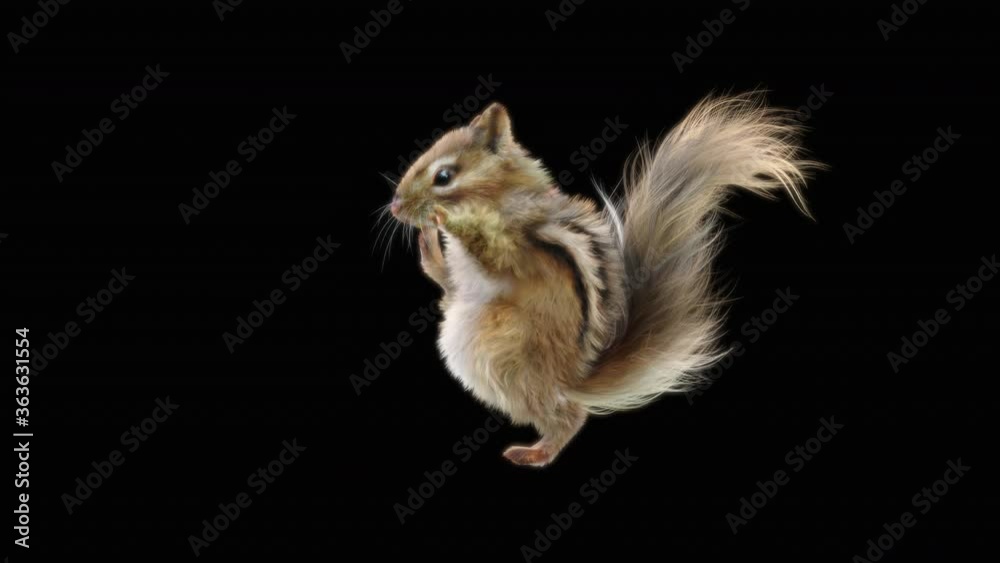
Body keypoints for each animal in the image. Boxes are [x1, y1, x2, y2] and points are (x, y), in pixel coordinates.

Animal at [385, 93, 820, 467]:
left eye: (444, 175)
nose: (395, 207)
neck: (500, 198)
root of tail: (571, 376)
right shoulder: (460, 279)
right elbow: (446, 279)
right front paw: (429, 243)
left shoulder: (519, 249)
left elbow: (494, 259)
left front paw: (438, 222)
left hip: (500, 354)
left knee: (571, 416)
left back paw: (535, 453)